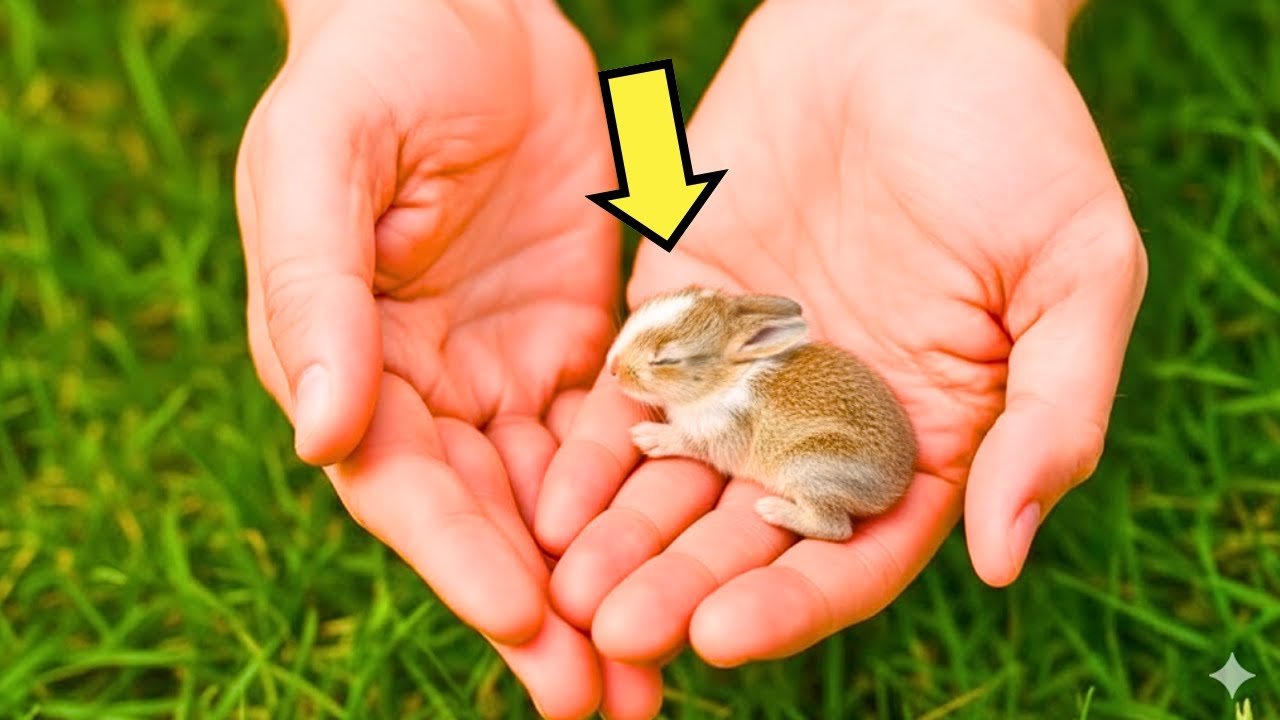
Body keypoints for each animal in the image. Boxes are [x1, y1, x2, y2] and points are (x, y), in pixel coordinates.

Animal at [605, 286, 917, 542]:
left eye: (667, 360)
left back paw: (773, 510)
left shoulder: (721, 432)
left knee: (835, 528)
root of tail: (895, 489)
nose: (614, 368)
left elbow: (690, 442)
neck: (725, 381)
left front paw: (648, 436)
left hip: (810, 468)